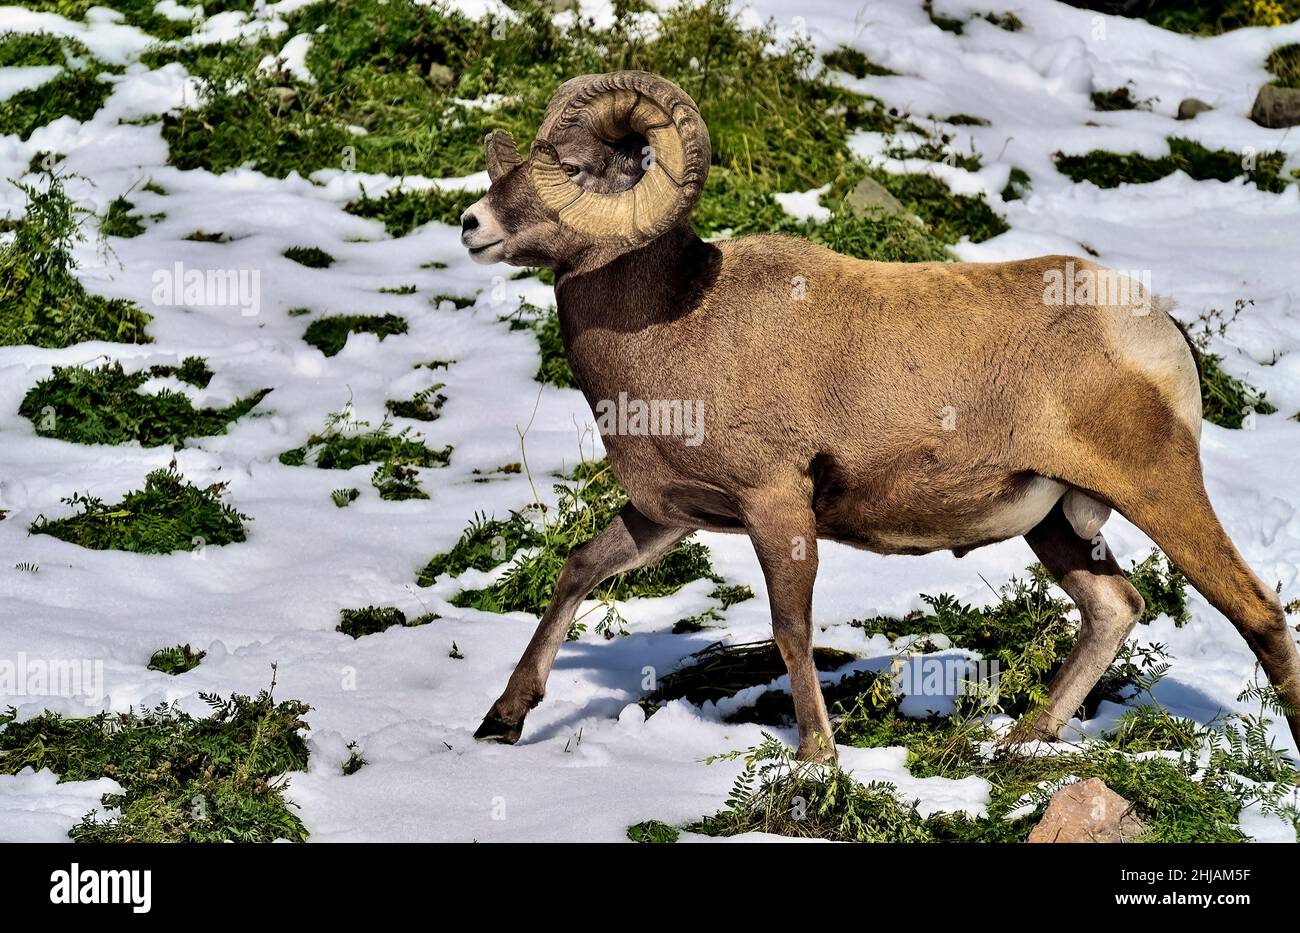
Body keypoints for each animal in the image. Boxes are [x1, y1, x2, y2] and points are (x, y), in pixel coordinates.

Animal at [459, 70, 1300, 761]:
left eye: (572, 169)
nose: (473, 225)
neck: (676, 324)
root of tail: (1155, 327)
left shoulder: (777, 507)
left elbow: (791, 629)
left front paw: (816, 756)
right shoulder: (667, 514)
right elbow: (580, 568)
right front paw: (502, 719)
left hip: (1158, 490)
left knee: (1258, 613)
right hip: (1054, 523)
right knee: (1114, 608)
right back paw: (1019, 742)